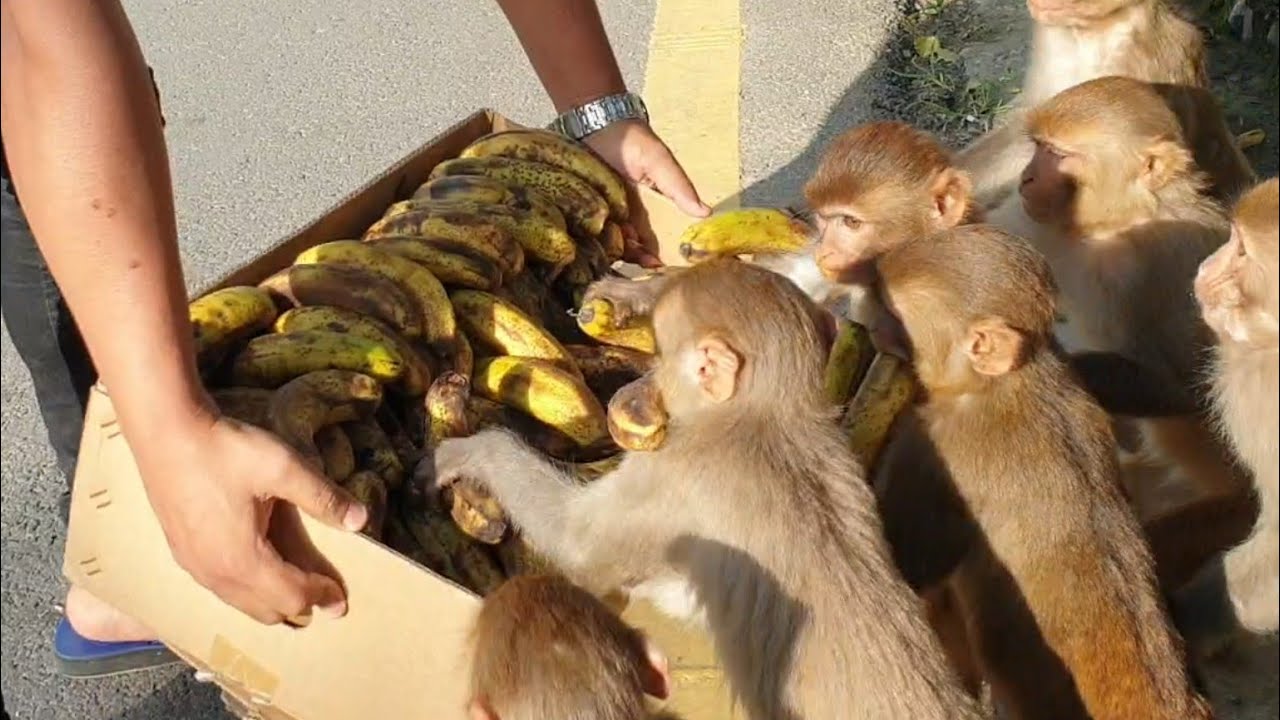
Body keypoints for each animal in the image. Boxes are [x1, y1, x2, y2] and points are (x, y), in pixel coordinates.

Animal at [871, 224, 1215, 720]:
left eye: (892, 312)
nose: (872, 327)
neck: (1003, 381)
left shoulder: (937, 443)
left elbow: (912, 560)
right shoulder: (1058, 360)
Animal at [989, 74, 1250, 519]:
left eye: (1058, 154)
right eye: (1038, 147)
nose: (1025, 178)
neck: (1121, 221)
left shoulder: (1160, 267)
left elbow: (1185, 388)